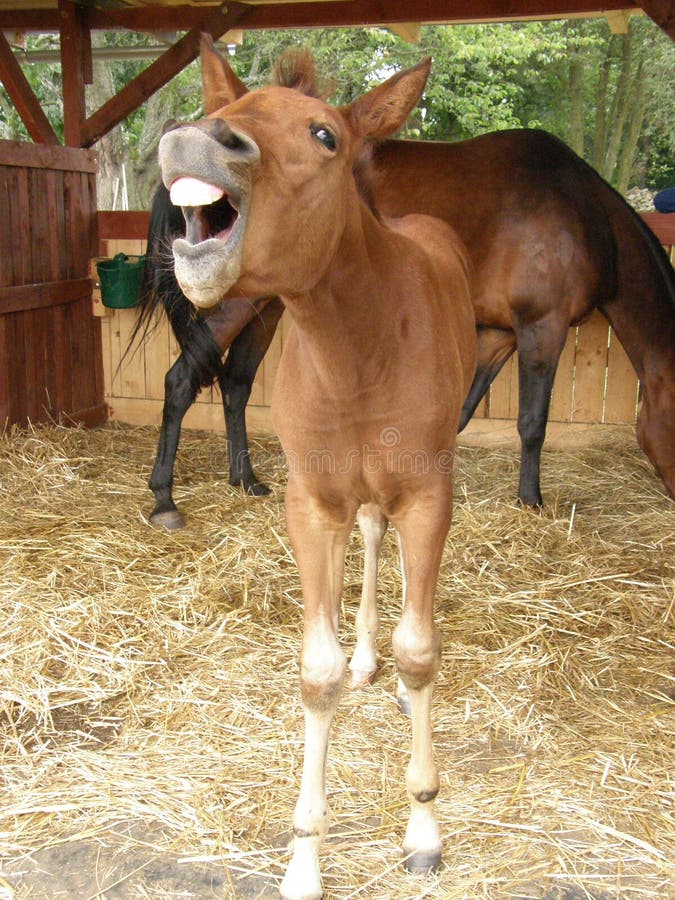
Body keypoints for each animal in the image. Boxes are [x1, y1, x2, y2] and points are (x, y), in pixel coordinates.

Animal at [138, 62, 674, 527]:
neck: (584, 216)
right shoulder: (542, 326)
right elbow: (532, 423)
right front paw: (531, 500)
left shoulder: (496, 335)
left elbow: (460, 414)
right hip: (229, 305)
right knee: (181, 380)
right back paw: (164, 497)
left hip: (264, 309)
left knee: (236, 385)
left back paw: (245, 479)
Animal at [158, 34, 476, 898]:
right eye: (226, 109)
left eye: (324, 134)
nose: (196, 141)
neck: (357, 346)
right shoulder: (312, 505)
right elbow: (318, 670)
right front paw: (303, 856)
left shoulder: (428, 496)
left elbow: (421, 650)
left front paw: (424, 826)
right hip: (354, 499)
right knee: (369, 538)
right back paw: (368, 658)